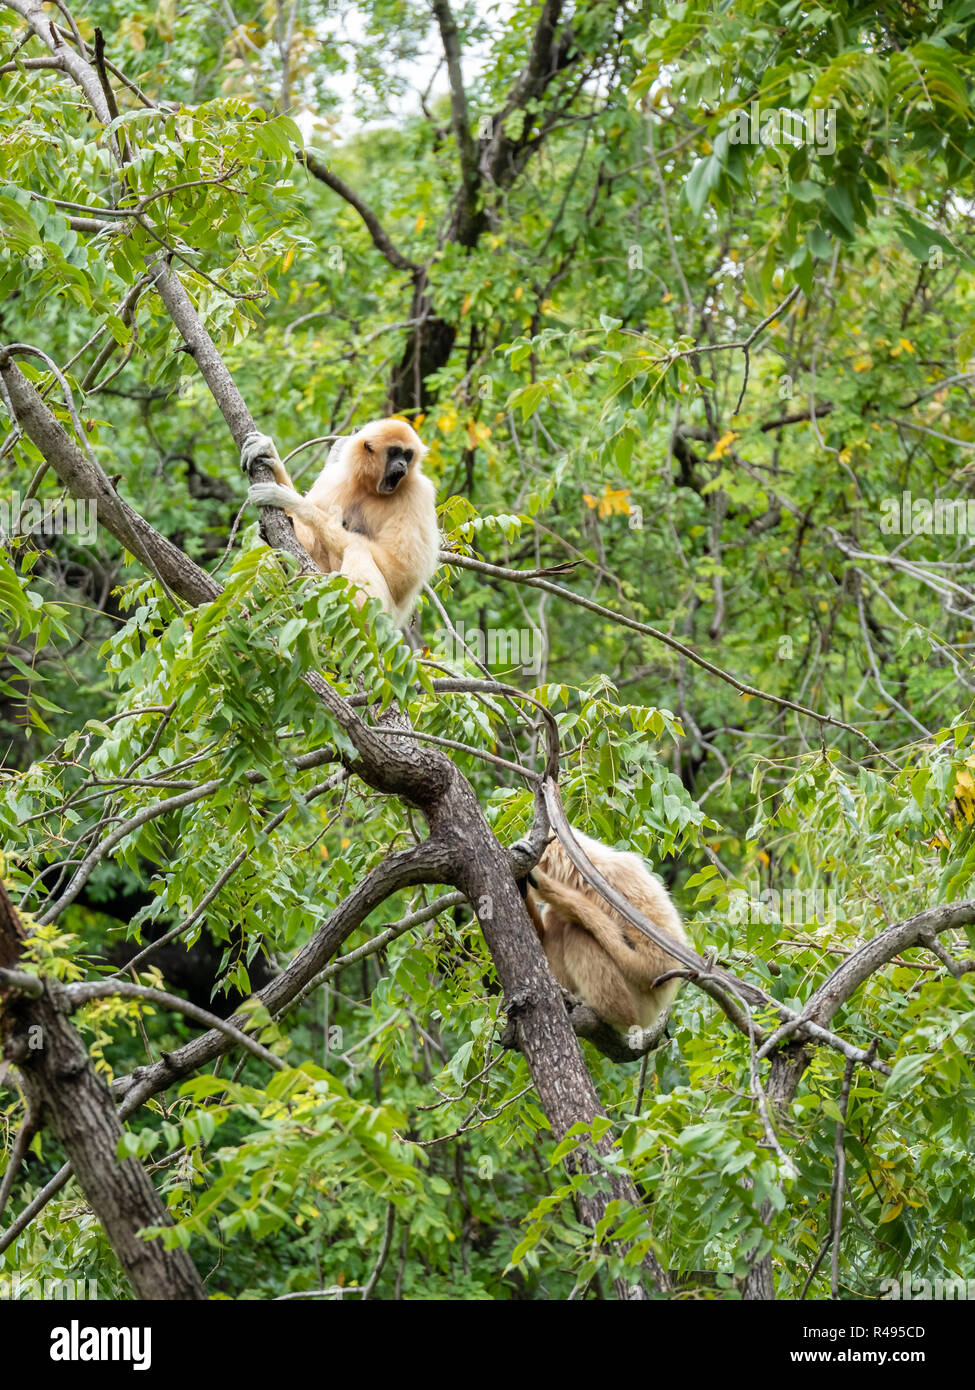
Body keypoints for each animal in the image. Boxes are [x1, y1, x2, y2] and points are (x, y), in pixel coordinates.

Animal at [242, 418, 440, 626]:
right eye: (394, 452)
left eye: (407, 455)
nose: (402, 463)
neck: (370, 490)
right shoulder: (334, 479)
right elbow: (308, 545)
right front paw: (270, 456)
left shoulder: (418, 494)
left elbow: (400, 573)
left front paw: (294, 502)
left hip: (387, 616)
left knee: (358, 549)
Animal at [514, 829, 689, 1034]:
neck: (583, 879)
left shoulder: (623, 876)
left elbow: (658, 962)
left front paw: (544, 884)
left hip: (638, 1007)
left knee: (577, 931)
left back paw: (609, 1013)